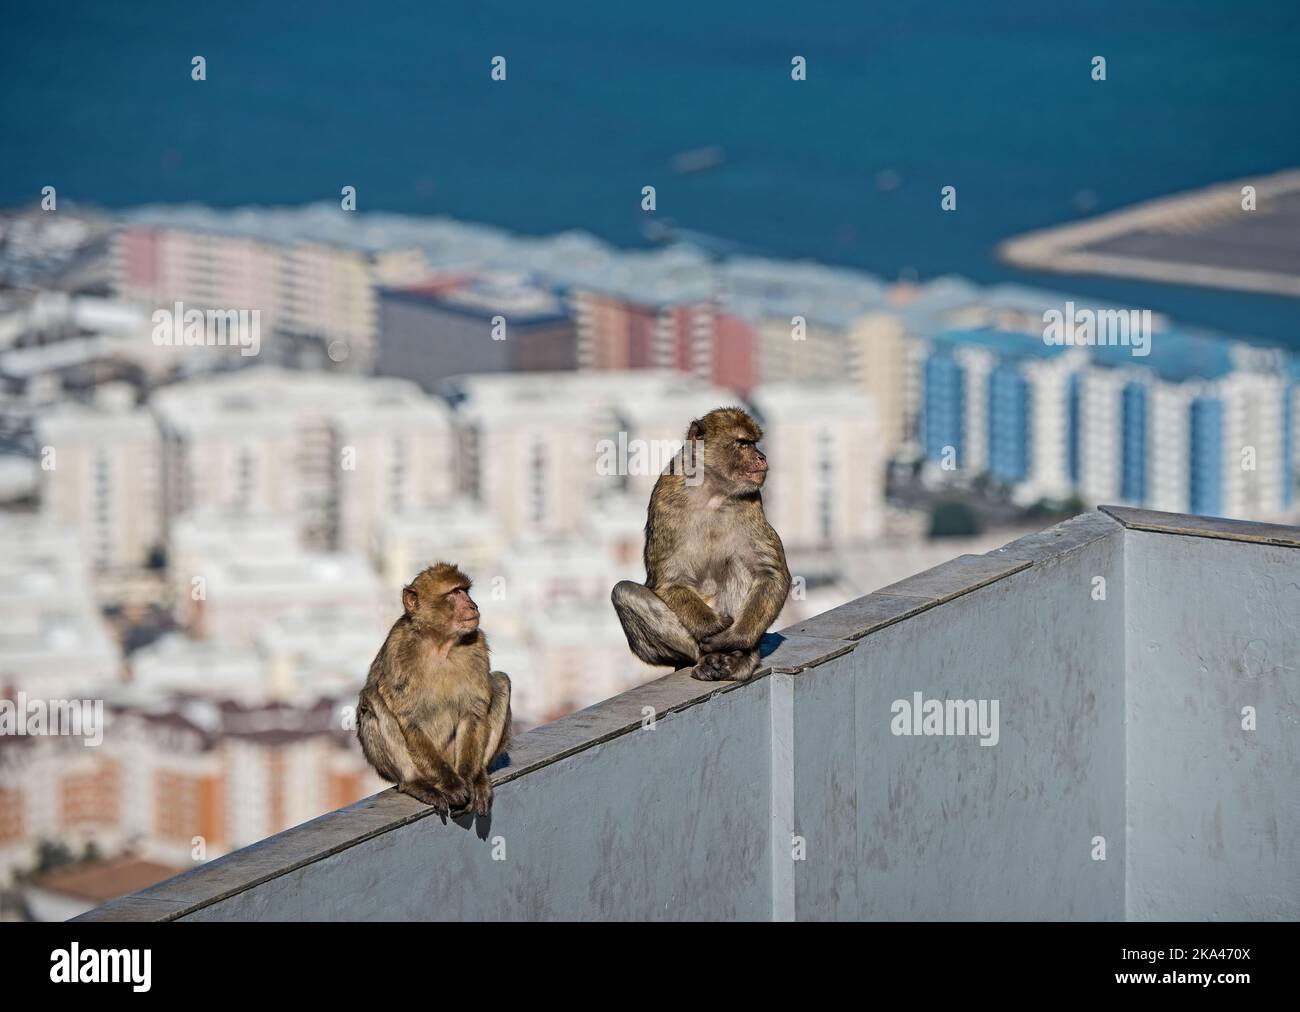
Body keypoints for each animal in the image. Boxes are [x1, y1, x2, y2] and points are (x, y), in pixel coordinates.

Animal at [356, 563, 511, 816]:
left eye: (465, 591)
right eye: (454, 593)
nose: (473, 605)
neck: (440, 643)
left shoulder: (476, 644)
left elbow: (474, 711)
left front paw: (468, 780)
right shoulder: (398, 648)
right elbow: (408, 719)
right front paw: (453, 785)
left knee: (500, 682)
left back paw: (479, 778)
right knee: (373, 698)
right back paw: (416, 784)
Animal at [612, 406, 791, 683]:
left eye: (754, 443)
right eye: (743, 443)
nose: (761, 457)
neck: (713, 491)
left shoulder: (752, 502)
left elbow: (770, 573)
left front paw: (733, 638)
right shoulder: (667, 498)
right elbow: (670, 582)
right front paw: (716, 627)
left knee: (737, 564)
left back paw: (738, 658)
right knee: (622, 592)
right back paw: (707, 657)